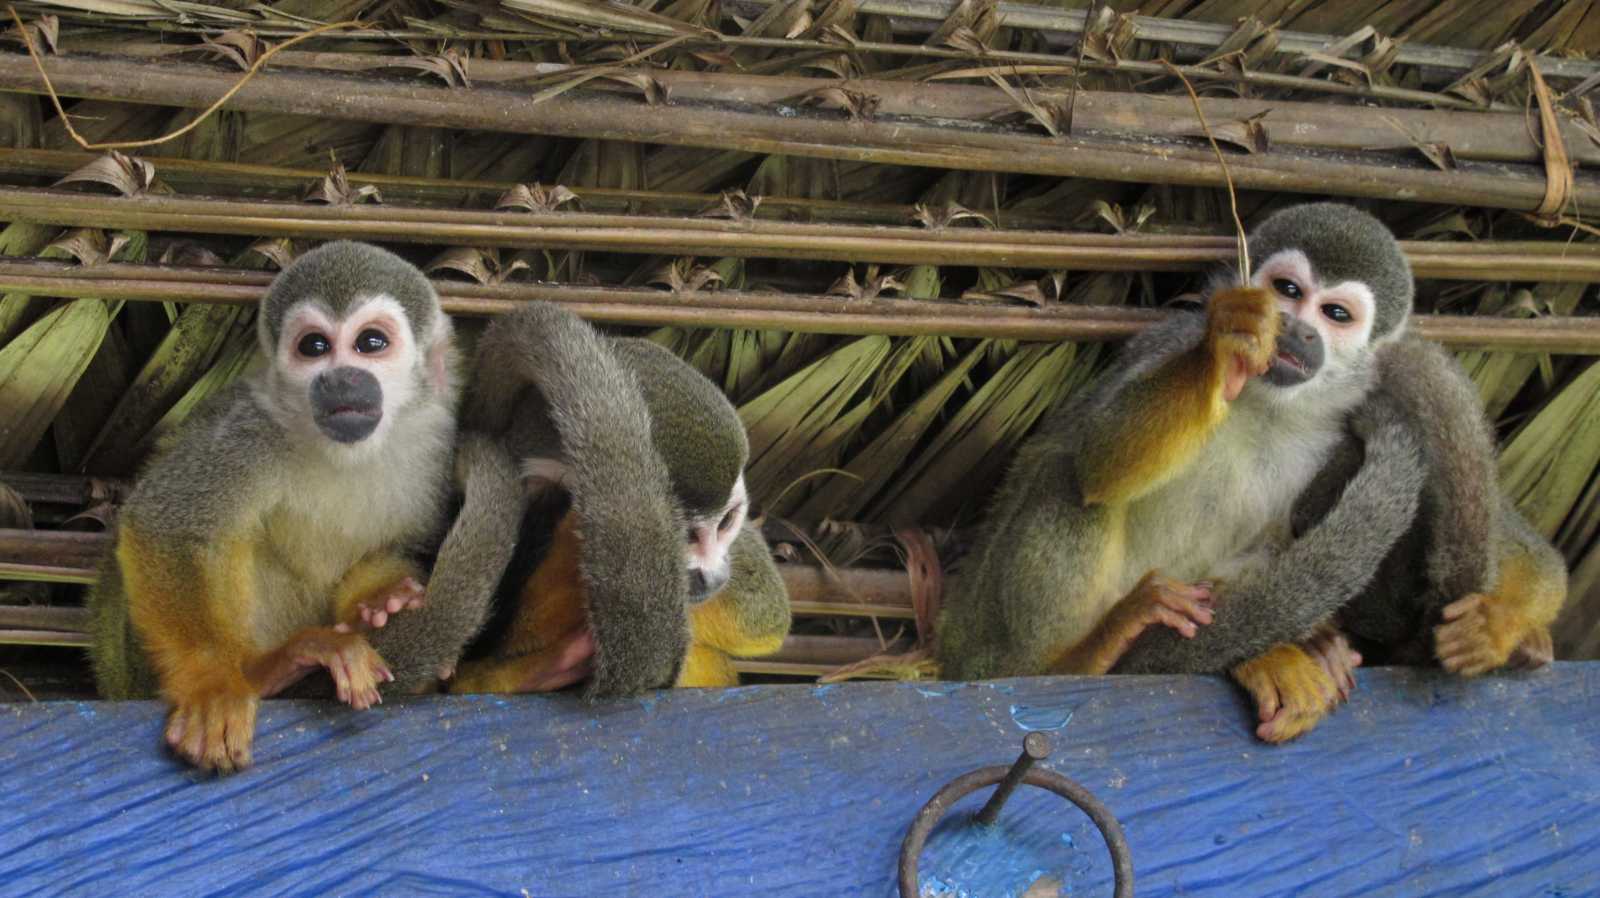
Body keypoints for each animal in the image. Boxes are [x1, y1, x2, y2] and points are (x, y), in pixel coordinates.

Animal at [87, 241, 459, 773]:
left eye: (370, 343)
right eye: (315, 347)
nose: (340, 380)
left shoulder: (434, 443)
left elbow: (405, 544)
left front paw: (380, 601)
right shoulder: (248, 428)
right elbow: (167, 523)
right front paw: (212, 683)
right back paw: (272, 669)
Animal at [937, 204, 1426, 718]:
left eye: (1336, 314)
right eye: (1288, 291)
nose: (1299, 329)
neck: (1268, 405)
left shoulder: (1332, 439)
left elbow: (1268, 548)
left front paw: (1287, 649)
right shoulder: (1171, 340)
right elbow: (1102, 459)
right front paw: (1225, 347)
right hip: (981, 636)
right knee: (1065, 476)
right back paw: (1073, 661)